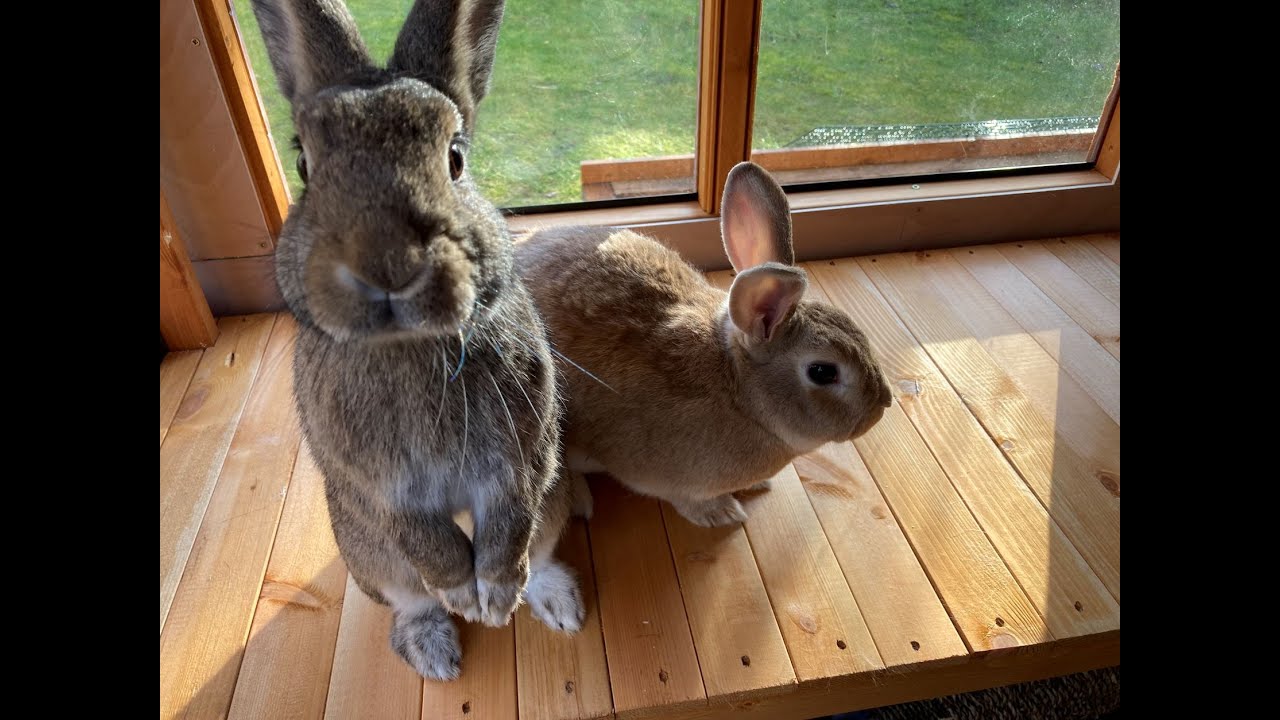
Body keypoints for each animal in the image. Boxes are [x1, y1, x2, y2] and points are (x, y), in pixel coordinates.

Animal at [249, 0, 586, 680]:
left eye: (454, 158)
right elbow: (427, 542)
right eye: (304, 165)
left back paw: (556, 604)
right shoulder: (379, 489)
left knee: (540, 546)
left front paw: (496, 599)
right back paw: (435, 652)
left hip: (556, 494)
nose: (388, 261)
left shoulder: (521, 459)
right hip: (364, 550)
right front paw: (465, 597)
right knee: (407, 597)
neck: (406, 344)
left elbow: (507, 527)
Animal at [515, 161, 893, 528]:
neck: (741, 394)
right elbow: (688, 500)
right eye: (822, 372)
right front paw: (722, 513)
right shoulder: (660, 476)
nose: (883, 405)